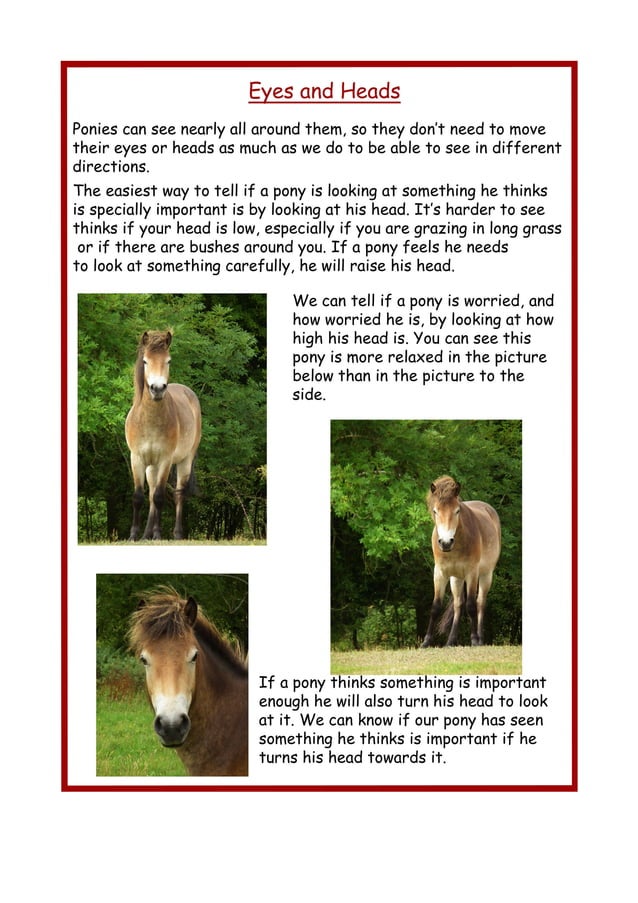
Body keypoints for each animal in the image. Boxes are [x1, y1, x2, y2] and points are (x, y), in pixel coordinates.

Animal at [125, 330, 202, 540]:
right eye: (145, 361)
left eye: (168, 361)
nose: (158, 388)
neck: (149, 421)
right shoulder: (136, 459)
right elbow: (138, 497)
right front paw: (134, 535)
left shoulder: (165, 460)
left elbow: (159, 497)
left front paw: (158, 535)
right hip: (151, 466)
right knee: (151, 494)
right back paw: (145, 535)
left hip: (184, 461)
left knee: (178, 494)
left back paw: (177, 534)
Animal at [421, 476, 501, 647]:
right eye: (435, 511)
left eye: (457, 511)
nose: (445, 542)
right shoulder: (439, 574)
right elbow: (436, 607)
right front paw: (426, 641)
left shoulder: (472, 573)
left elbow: (471, 606)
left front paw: (474, 639)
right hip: (456, 578)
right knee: (458, 604)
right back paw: (450, 641)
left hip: (486, 575)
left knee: (480, 603)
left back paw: (480, 639)